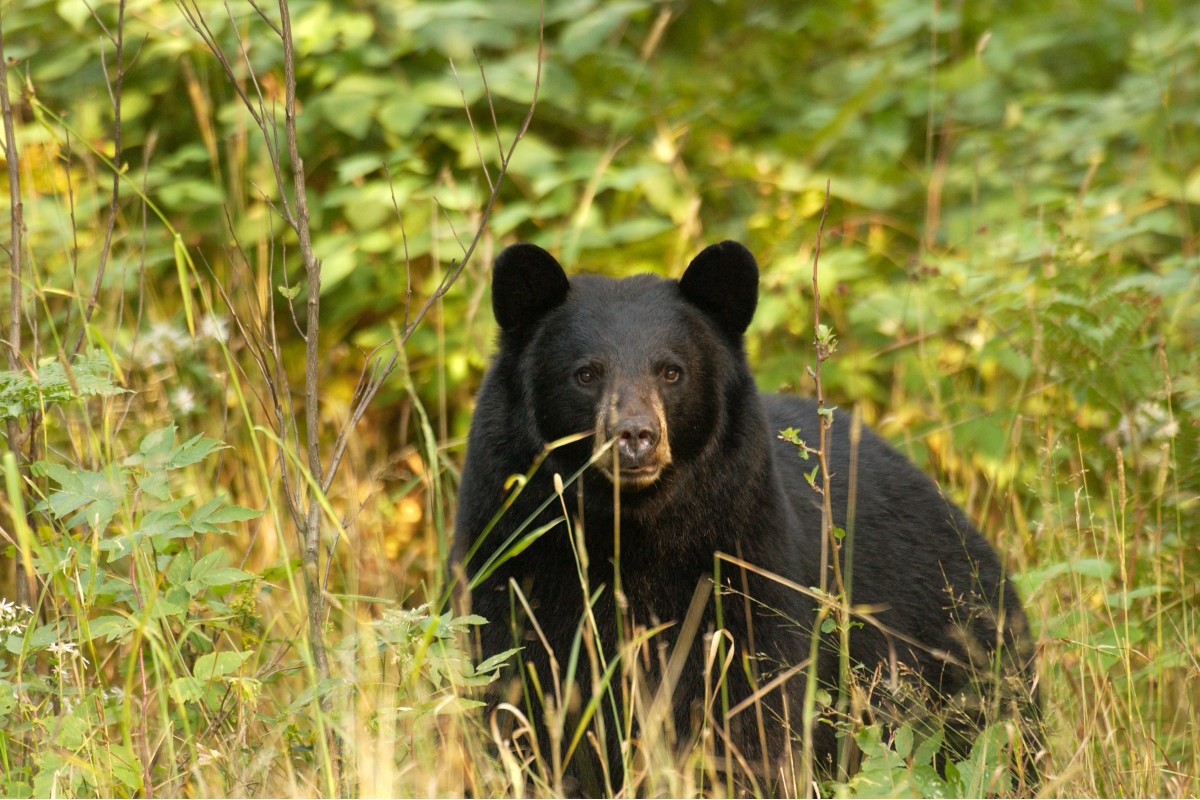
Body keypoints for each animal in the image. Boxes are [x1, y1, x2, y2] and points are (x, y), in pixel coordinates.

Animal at [453, 240, 1040, 795]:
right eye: (585, 373)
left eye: (672, 371)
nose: (635, 435)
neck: (631, 528)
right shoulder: (516, 553)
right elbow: (521, 693)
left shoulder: (742, 555)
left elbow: (751, 704)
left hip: (958, 648)